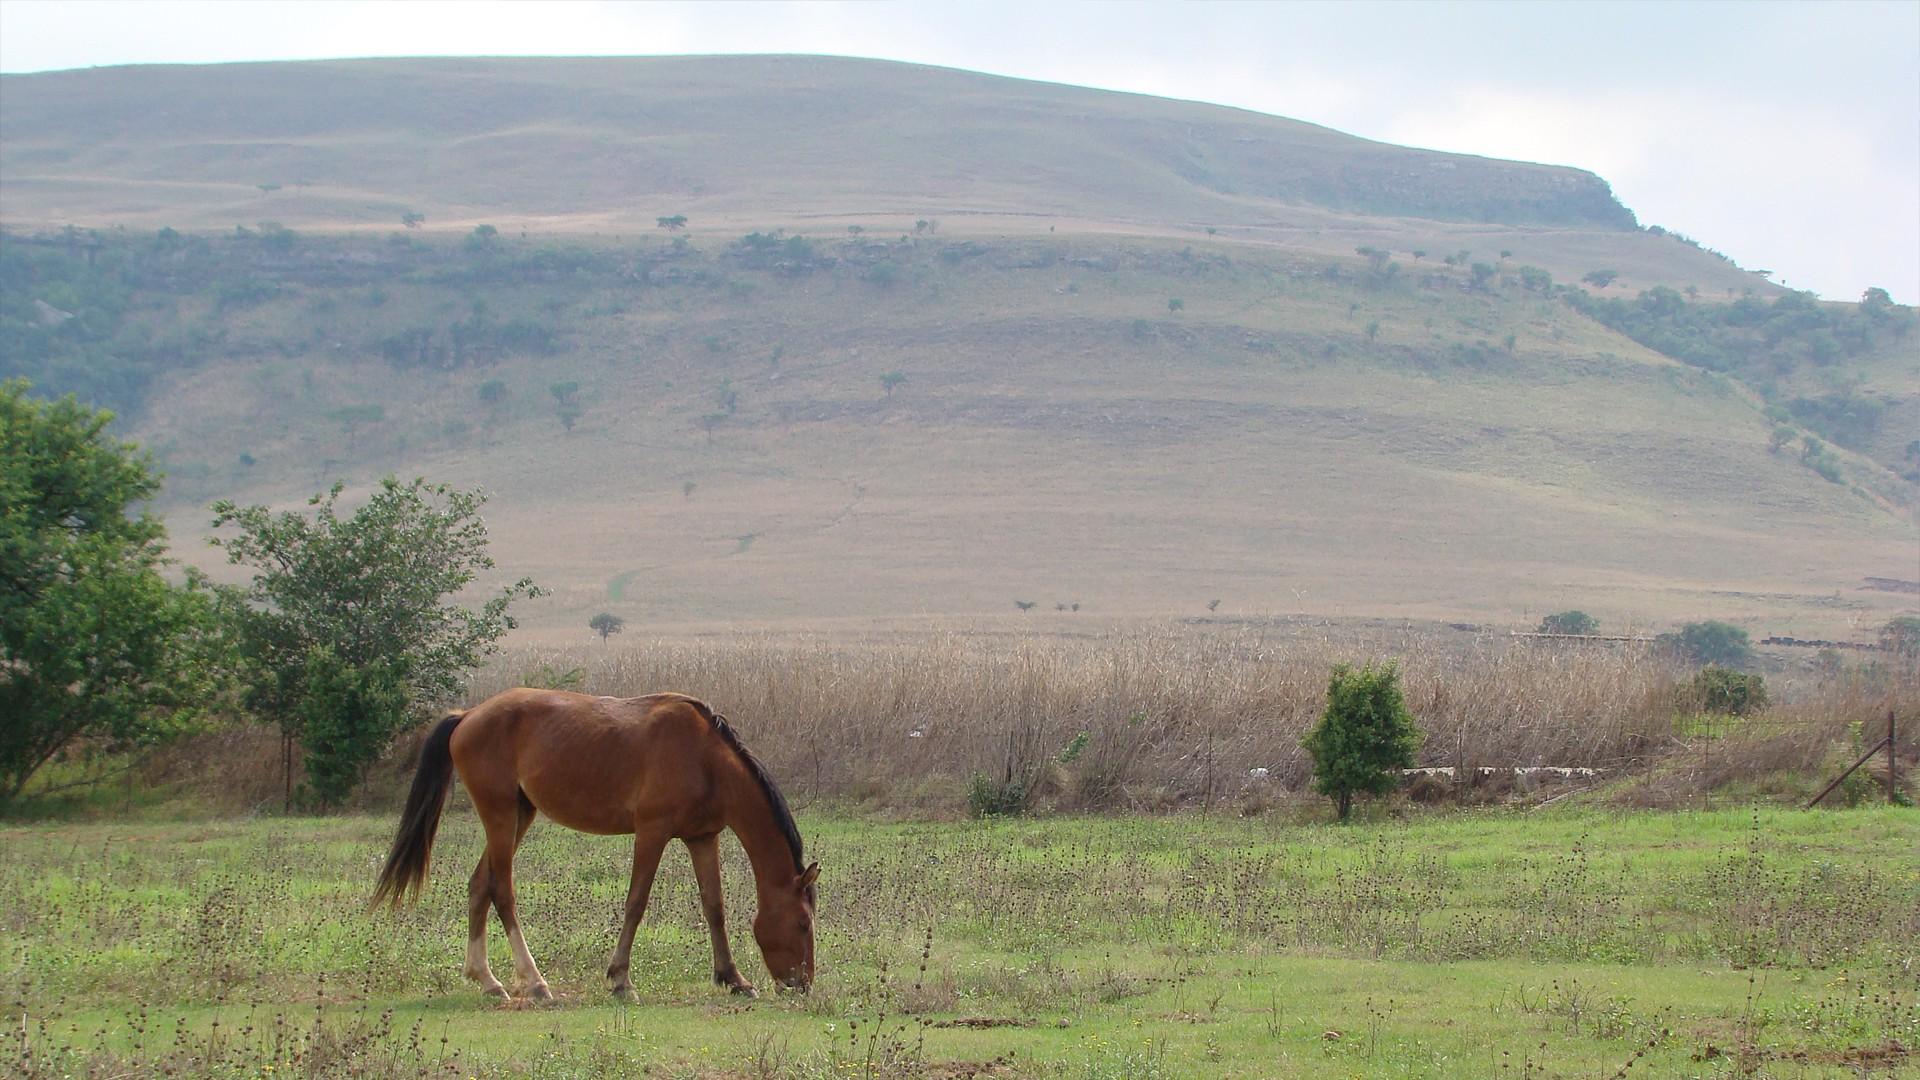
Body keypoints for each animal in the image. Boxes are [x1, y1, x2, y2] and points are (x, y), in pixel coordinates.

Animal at [371, 688, 819, 1001]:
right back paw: (535, 983)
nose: (802, 984)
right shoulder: (652, 832)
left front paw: (734, 979)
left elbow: (714, 908)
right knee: (502, 892)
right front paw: (621, 980)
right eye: (803, 922)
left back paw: (488, 981)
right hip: (499, 815)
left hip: (519, 814)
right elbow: (636, 903)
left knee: (480, 885)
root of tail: (466, 717)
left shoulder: (702, 837)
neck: (705, 758)